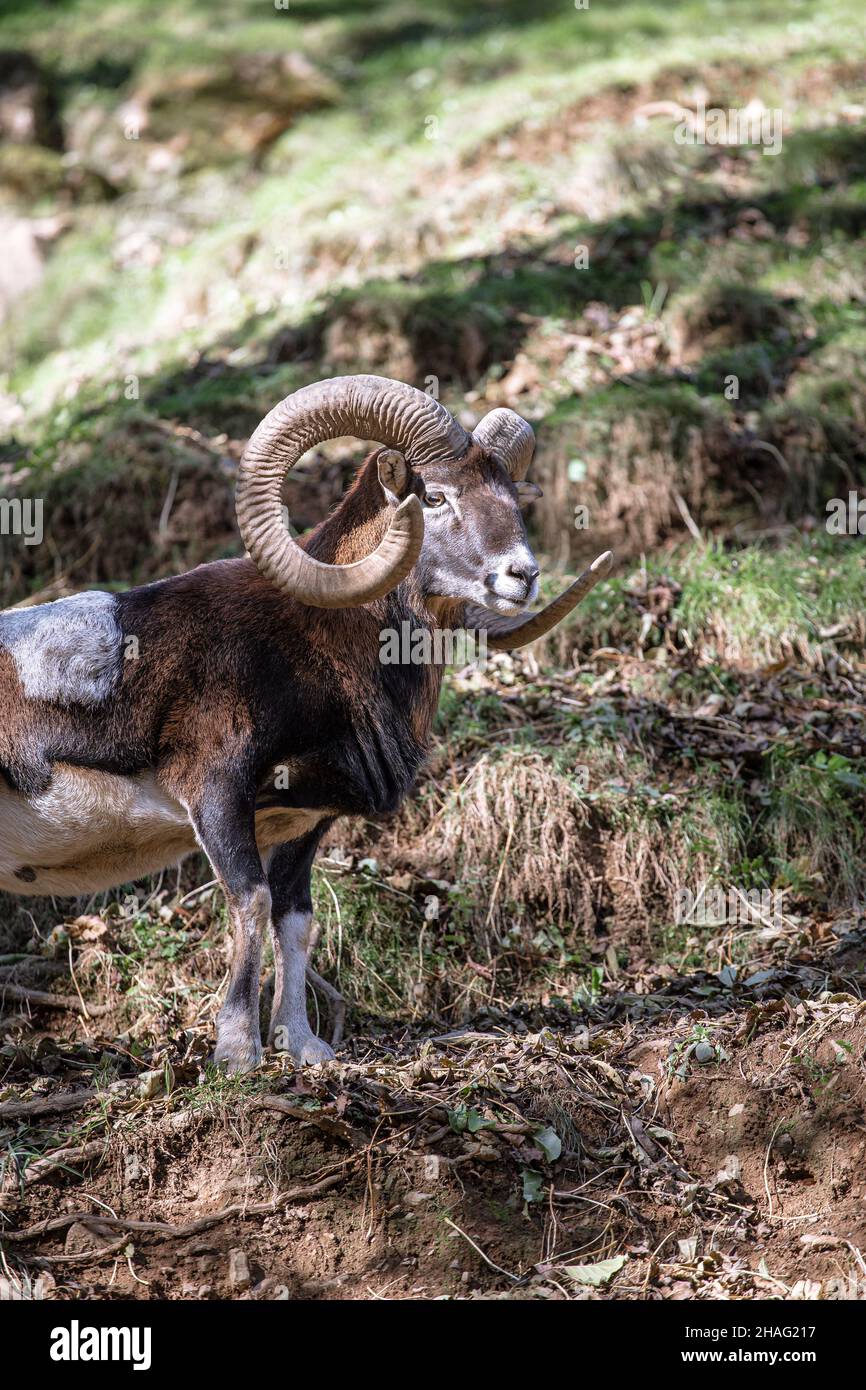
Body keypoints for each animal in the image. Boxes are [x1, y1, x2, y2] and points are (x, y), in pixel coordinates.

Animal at [0, 375, 612, 1072]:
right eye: (434, 495)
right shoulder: (216, 796)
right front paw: (238, 1055)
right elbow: (251, 902)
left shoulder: (302, 824)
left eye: (513, 499)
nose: (522, 576)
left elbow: (293, 921)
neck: (320, 643)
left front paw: (304, 1047)